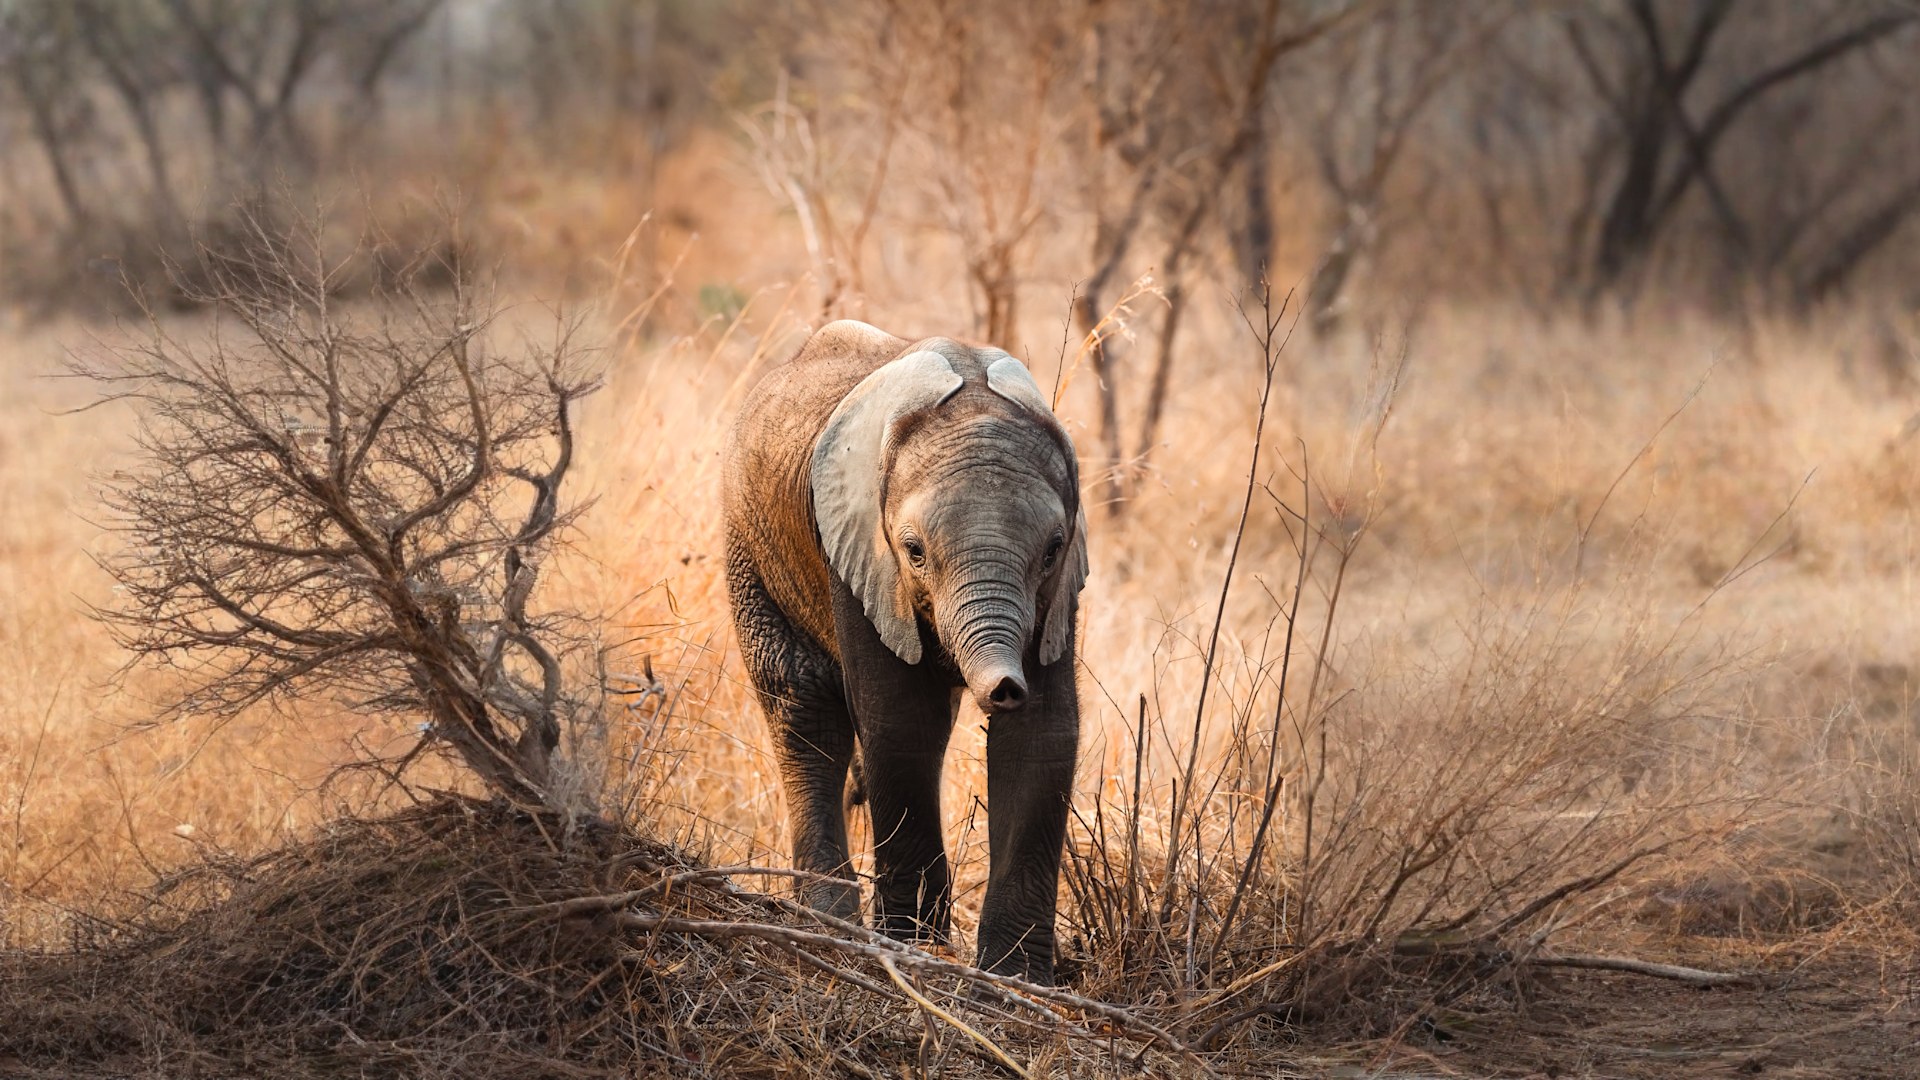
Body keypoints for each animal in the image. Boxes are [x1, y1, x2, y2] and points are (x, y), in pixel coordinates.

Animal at [721, 320, 1089, 983]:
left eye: (1052, 550)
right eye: (914, 551)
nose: (1004, 689)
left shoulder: (1056, 596)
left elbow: (1044, 734)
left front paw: (1016, 978)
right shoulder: (859, 555)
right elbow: (900, 722)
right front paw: (916, 946)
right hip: (749, 544)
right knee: (803, 710)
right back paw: (829, 916)